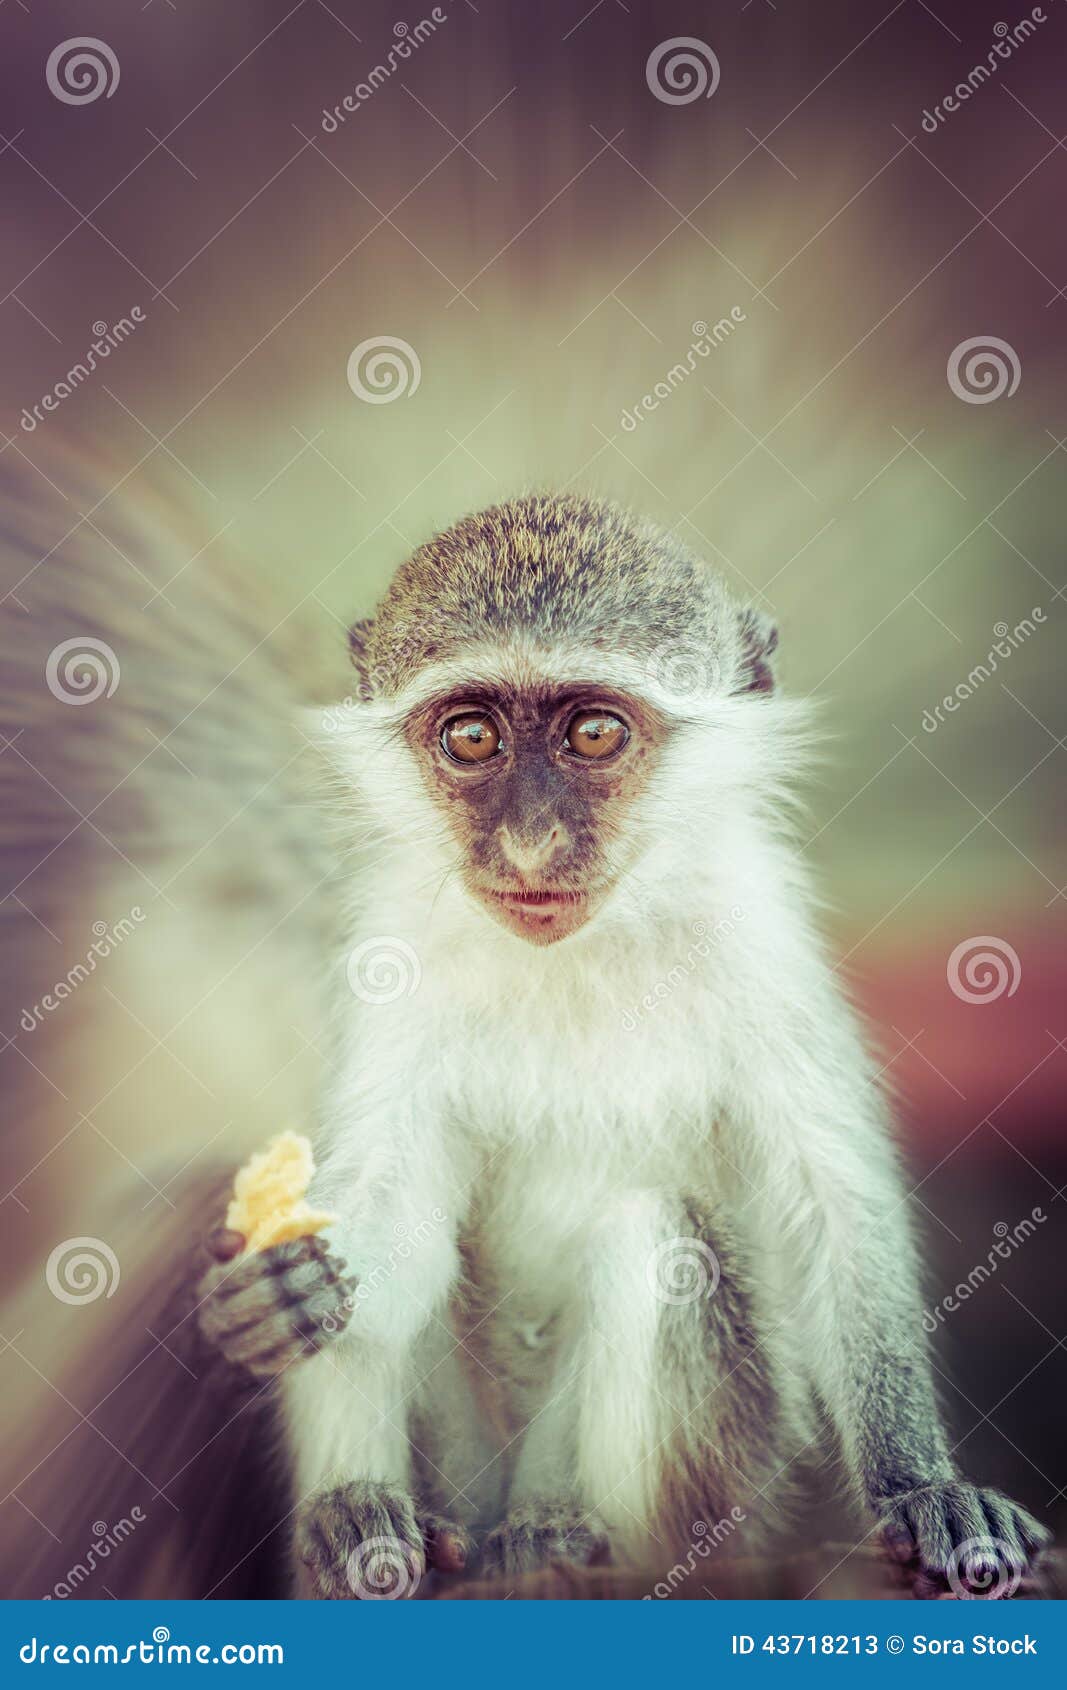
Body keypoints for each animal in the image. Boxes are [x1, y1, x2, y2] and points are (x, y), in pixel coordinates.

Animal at [196, 491, 1050, 1600]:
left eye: (594, 731)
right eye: (470, 736)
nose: (527, 847)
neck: (583, 949)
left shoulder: (763, 938)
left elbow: (831, 1215)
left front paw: (919, 1485)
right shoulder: (390, 956)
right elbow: (389, 1220)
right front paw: (266, 1294)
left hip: (734, 1482)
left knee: (659, 1238)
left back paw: (568, 1535)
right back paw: (362, 1519)